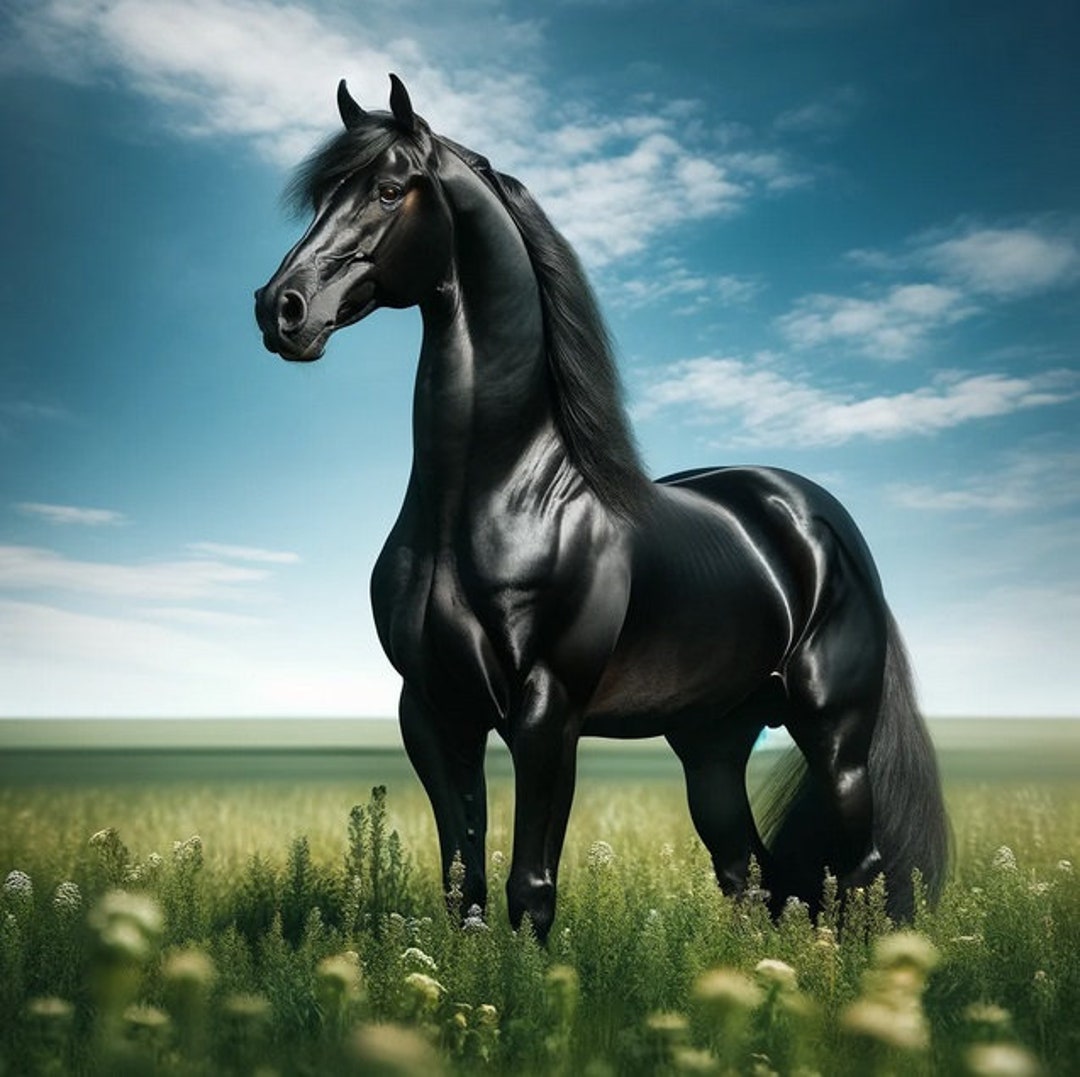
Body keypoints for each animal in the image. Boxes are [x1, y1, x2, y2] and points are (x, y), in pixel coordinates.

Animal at [255, 75, 949, 940]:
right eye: (321, 197)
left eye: (387, 190)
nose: (281, 308)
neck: (495, 497)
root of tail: (816, 517)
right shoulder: (433, 711)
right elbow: (463, 889)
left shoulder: (548, 711)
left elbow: (529, 891)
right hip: (712, 740)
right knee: (751, 876)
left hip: (836, 733)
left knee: (859, 874)